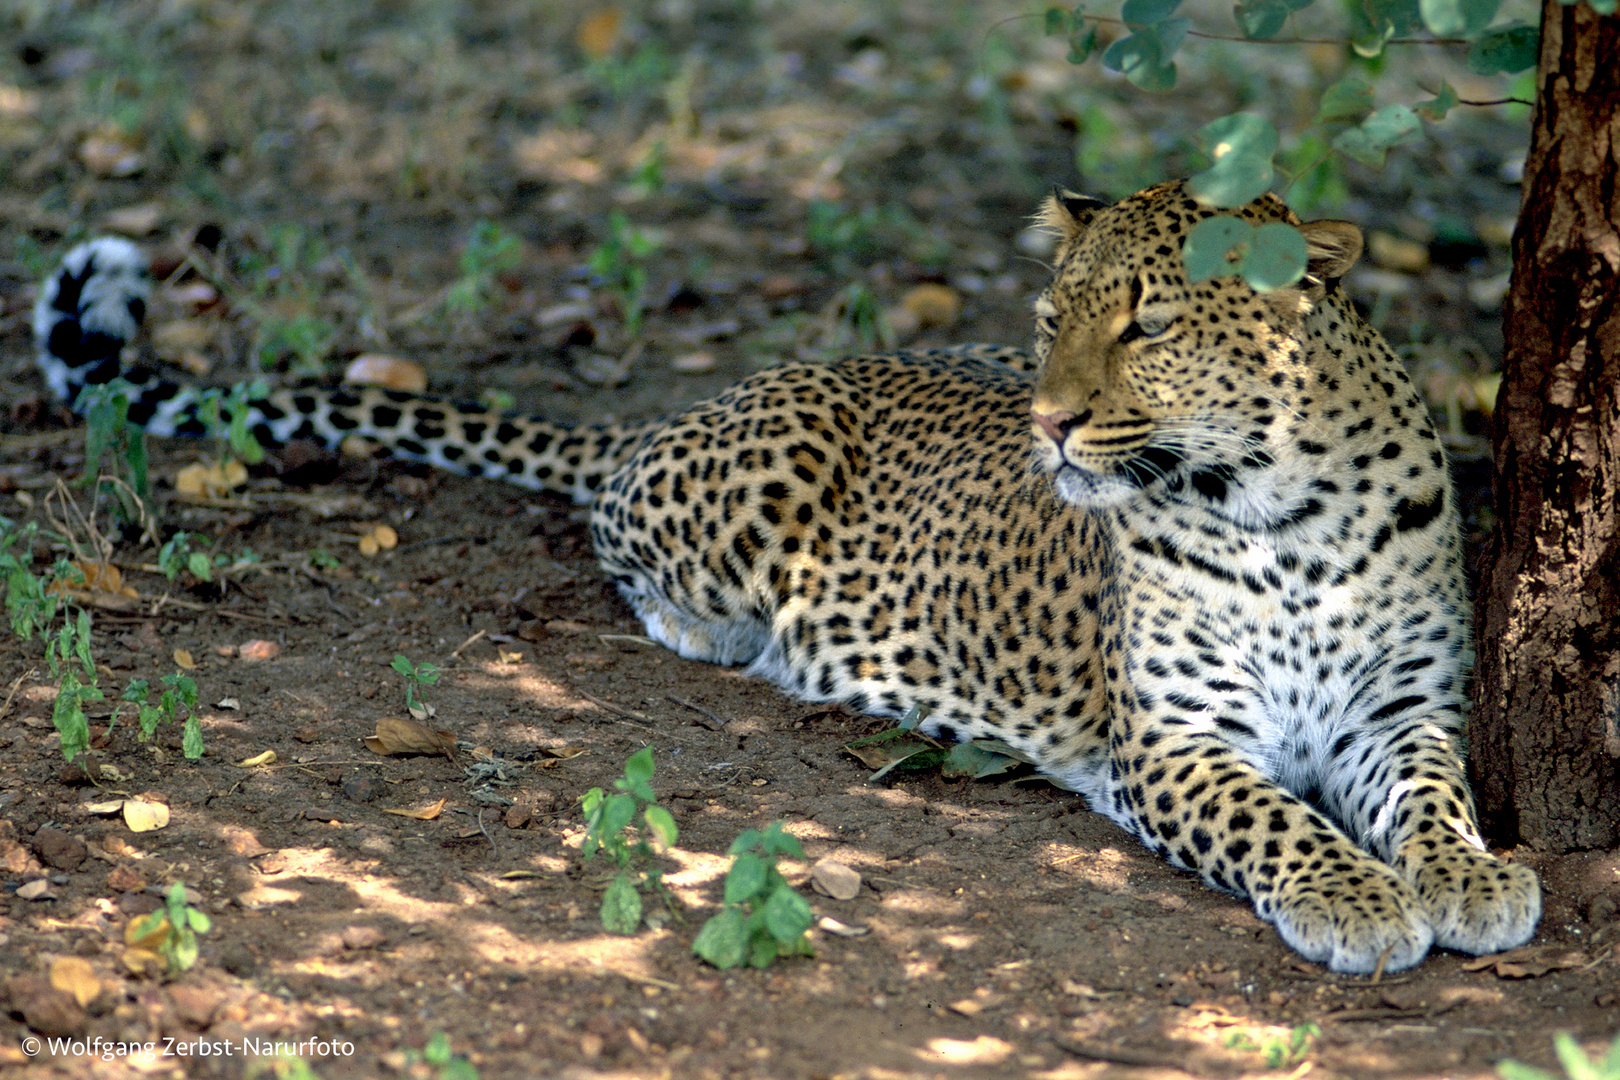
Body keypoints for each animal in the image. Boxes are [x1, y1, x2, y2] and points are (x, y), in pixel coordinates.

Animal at [31, 179, 1539, 973]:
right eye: (1052, 319)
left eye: (1148, 327)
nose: (1050, 421)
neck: (1282, 511)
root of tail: (707, 396)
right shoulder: (1175, 743)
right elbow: (1275, 821)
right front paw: (1355, 900)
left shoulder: (1400, 710)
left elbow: (1435, 798)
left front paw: (1469, 881)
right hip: (757, 481)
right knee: (615, 535)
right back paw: (727, 637)